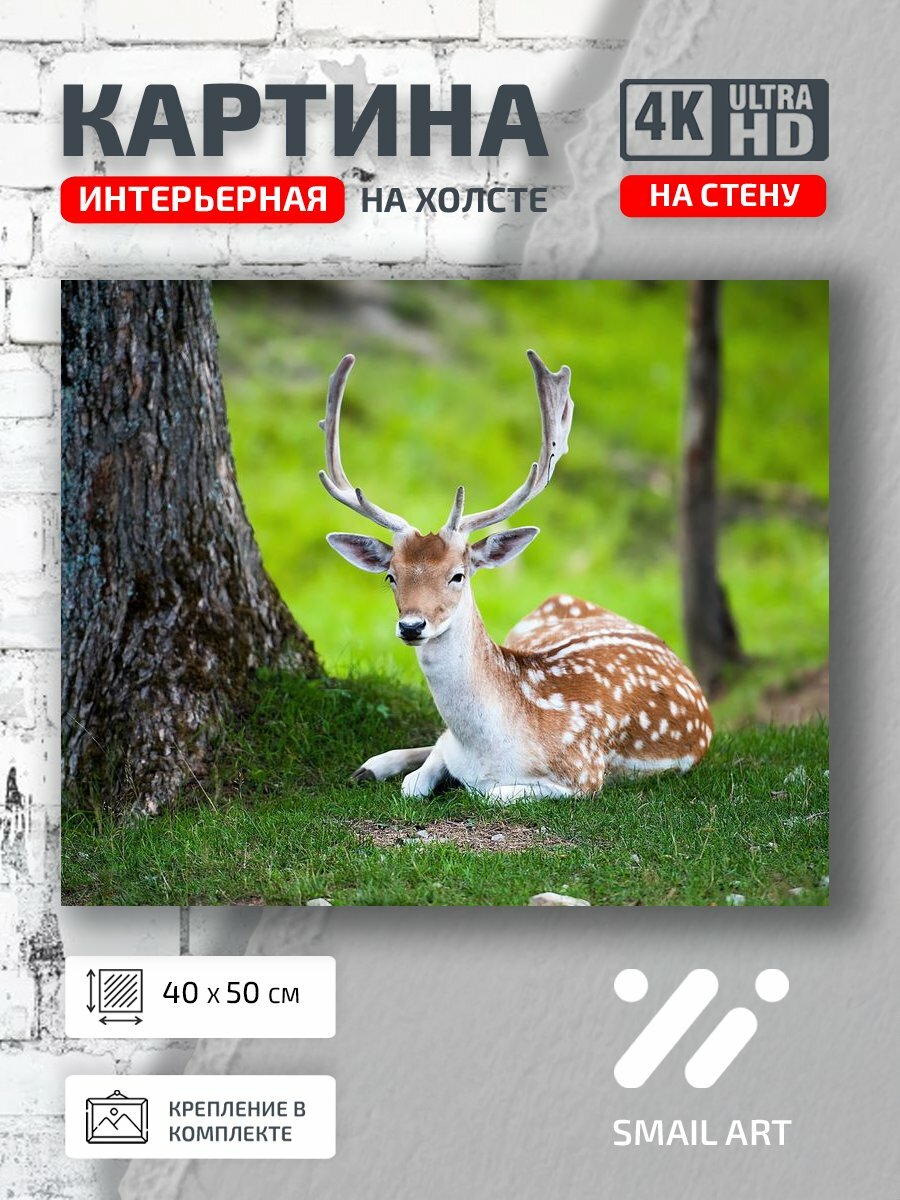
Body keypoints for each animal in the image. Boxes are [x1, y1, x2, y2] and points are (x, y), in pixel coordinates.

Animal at [320, 351, 713, 803]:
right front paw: (387, 768)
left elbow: (486, 793)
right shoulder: (451, 747)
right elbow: (416, 779)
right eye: (391, 576)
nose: (412, 626)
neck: (490, 748)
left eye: (458, 575)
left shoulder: (583, 774)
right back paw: (371, 765)